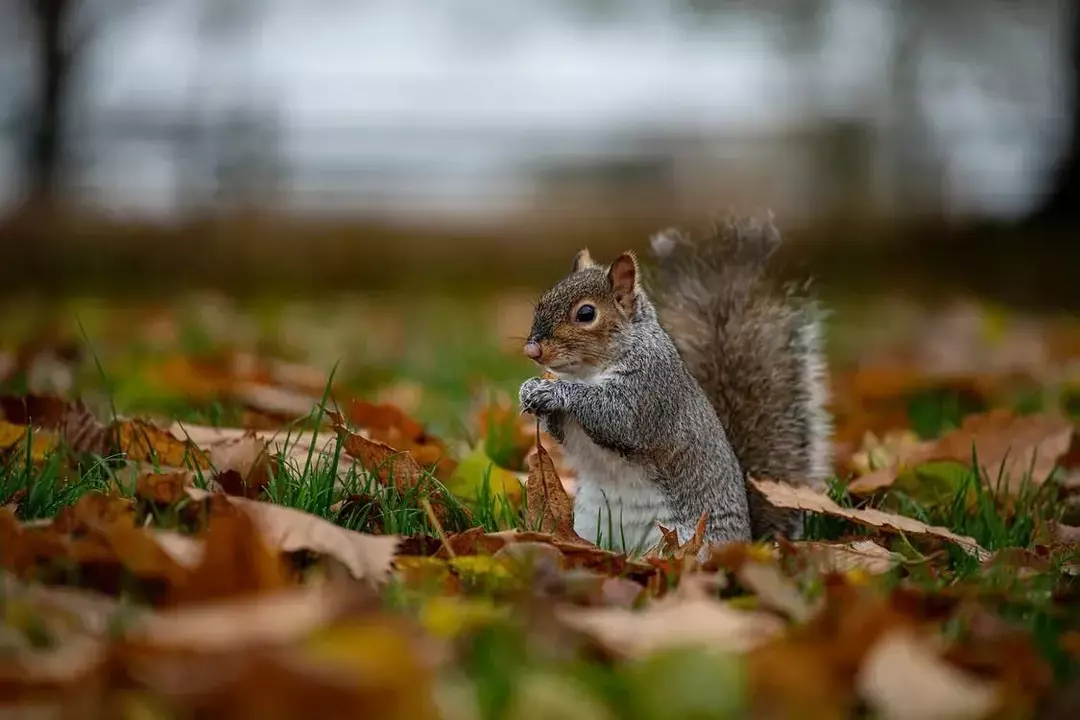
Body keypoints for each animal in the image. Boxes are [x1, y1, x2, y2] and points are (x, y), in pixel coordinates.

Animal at [518, 212, 829, 552]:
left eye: (586, 313)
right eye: (542, 302)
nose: (532, 350)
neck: (588, 371)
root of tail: (747, 542)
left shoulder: (649, 390)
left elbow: (615, 416)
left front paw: (554, 391)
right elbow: (562, 433)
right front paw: (529, 389)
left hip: (695, 541)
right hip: (589, 524)